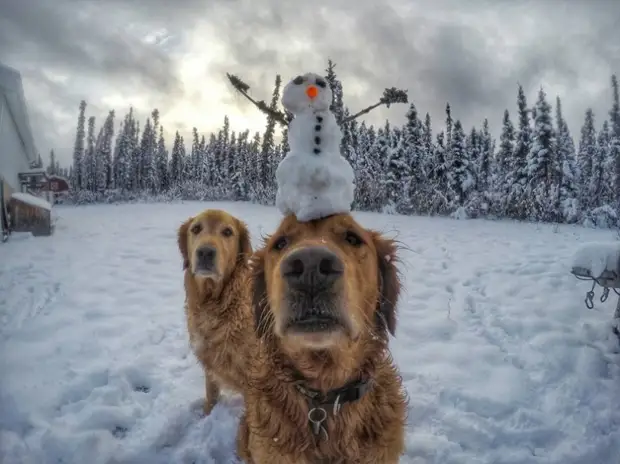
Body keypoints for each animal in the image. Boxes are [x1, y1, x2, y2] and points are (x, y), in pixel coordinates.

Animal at [178, 208, 256, 416]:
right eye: (196, 229)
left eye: (227, 232)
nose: (205, 252)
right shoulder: (210, 365)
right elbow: (211, 396)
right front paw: (206, 416)